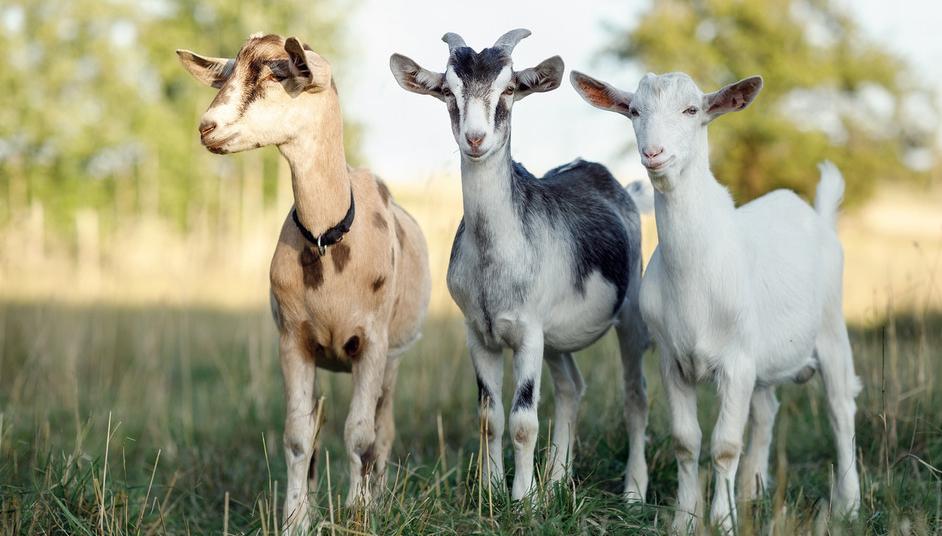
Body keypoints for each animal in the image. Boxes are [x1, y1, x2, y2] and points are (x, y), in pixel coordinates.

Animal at [178, 33, 431, 534]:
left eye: (280, 72)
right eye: (229, 72)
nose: (208, 127)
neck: (328, 238)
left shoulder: (372, 343)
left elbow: (360, 435)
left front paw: (359, 514)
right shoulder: (294, 340)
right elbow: (298, 435)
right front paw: (296, 520)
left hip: (394, 359)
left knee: (383, 429)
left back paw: (379, 497)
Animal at [390, 29, 651, 502]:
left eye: (509, 88)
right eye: (448, 91)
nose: (475, 139)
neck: (494, 260)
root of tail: (618, 185)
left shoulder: (528, 333)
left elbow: (524, 419)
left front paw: (522, 499)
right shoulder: (480, 334)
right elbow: (489, 416)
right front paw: (492, 490)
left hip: (630, 315)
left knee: (635, 395)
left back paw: (633, 491)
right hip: (557, 339)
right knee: (571, 388)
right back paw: (558, 480)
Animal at [572, 70, 861, 532]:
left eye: (692, 110)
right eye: (633, 110)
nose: (653, 153)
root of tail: (817, 216)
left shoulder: (736, 361)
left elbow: (725, 444)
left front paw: (723, 522)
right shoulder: (673, 359)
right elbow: (687, 440)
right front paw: (684, 519)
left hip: (832, 329)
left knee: (840, 409)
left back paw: (849, 505)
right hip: (764, 357)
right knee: (766, 410)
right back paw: (752, 491)